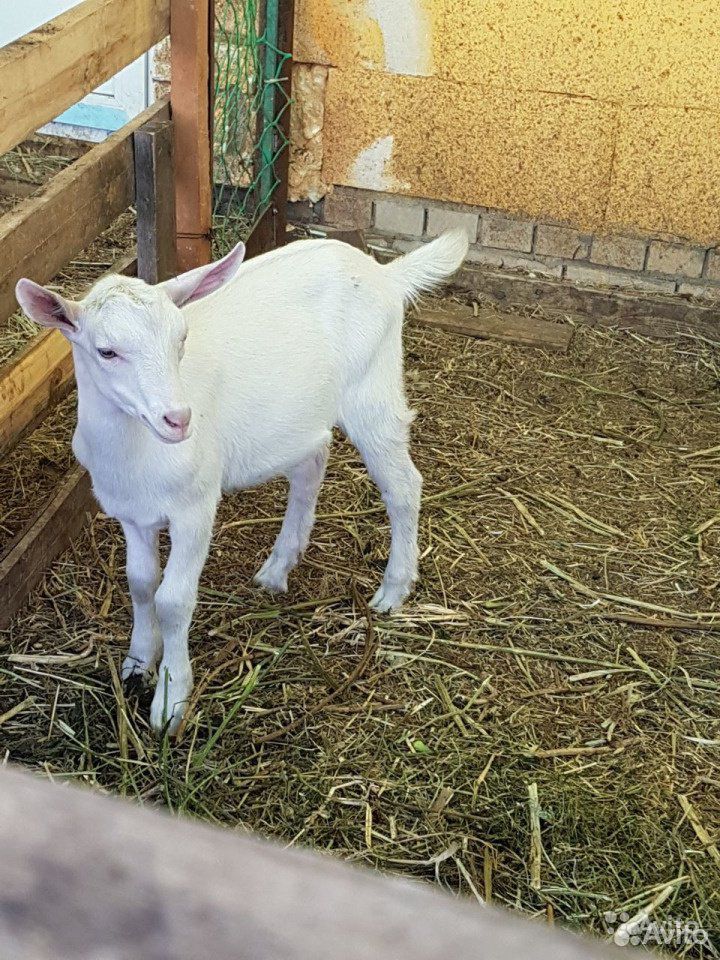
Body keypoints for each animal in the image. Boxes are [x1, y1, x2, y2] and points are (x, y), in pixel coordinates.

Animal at [16, 231, 468, 733]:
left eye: (182, 340)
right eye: (106, 351)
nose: (178, 418)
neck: (134, 453)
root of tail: (385, 274)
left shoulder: (195, 506)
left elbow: (173, 599)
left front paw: (171, 699)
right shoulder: (131, 512)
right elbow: (140, 582)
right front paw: (137, 662)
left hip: (372, 388)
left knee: (403, 486)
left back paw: (393, 589)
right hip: (302, 412)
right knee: (312, 462)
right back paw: (278, 568)